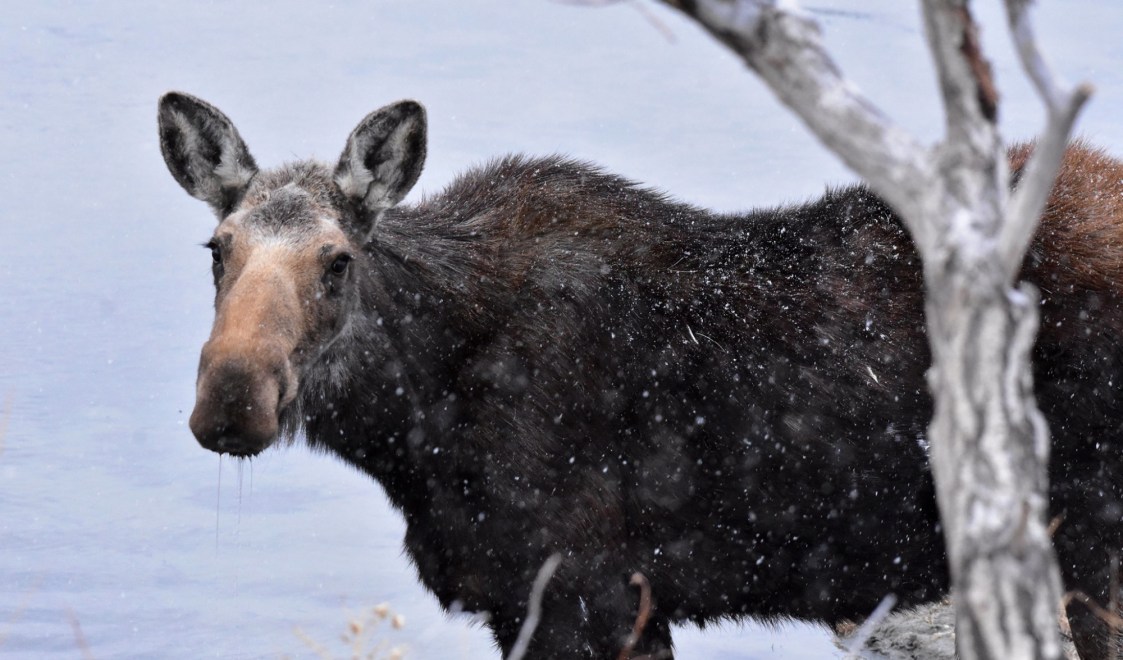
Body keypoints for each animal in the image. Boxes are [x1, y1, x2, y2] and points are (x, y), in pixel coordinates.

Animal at [158, 91, 1123, 659]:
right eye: (217, 248)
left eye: (336, 262)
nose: (231, 399)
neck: (410, 424)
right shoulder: (603, 605)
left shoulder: (580, 596)